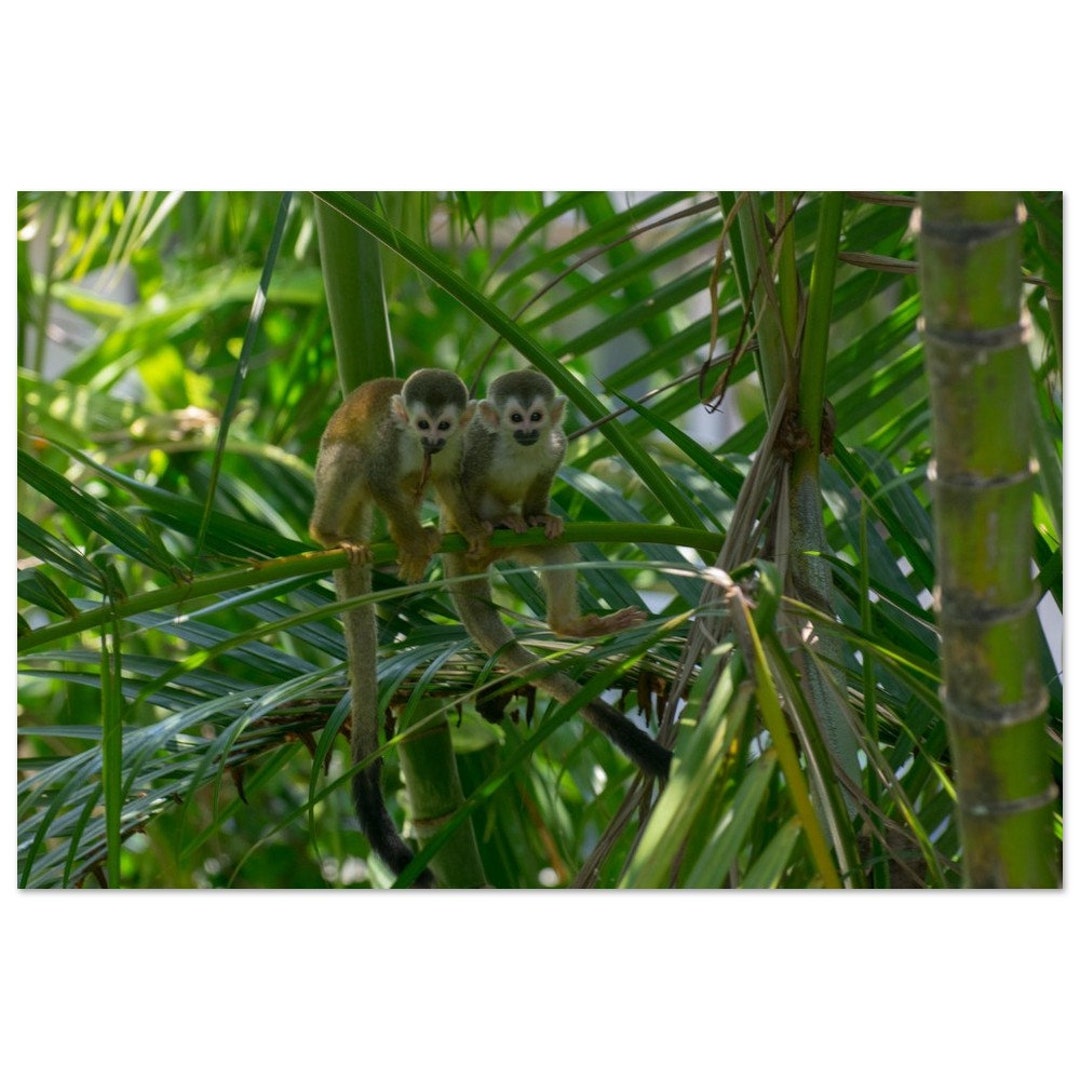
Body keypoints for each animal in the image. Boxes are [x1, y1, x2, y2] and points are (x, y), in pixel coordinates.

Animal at [310, 368, 488, 886]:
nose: (431, 440)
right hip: (329, 476)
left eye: (443, 426)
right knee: (354, 460)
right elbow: (379, 477)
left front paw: (471, 530)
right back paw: (328, 534)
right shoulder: (393, 442)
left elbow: (448, 480)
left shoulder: (459, 444)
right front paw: (412, 541)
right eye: (422, 423)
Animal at [440, 369, 672, 780]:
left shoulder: (557, 445)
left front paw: (540, 516)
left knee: (557, 551)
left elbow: (542, 491)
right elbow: (460, 479)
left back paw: (567, 625)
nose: (527, 431)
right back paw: (495, 523)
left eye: (536, 417)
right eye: (515, 418)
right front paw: (484, 523)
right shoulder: (481, 445)